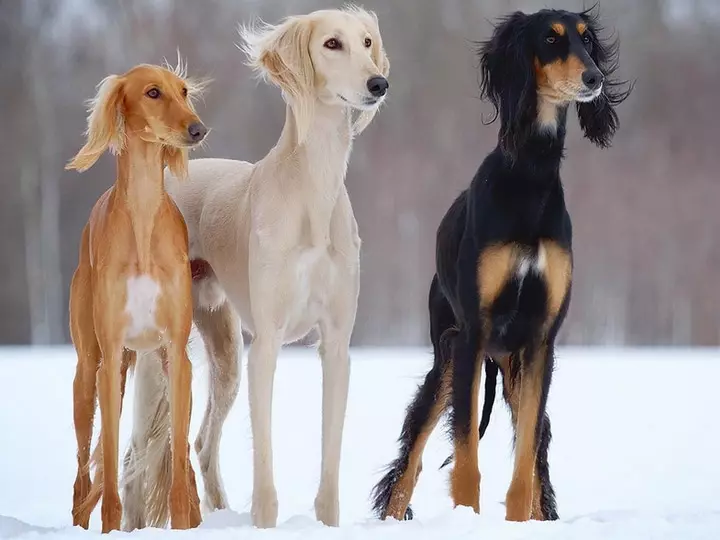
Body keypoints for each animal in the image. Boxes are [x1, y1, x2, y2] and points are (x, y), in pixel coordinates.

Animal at [65, 60, 208, 532]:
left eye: (184, 91)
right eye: (152, 92)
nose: (198, 129)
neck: (144, 217)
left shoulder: (177, 357)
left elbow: (179, 464)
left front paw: (182, 522)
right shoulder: (109, 361)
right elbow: (107, 468)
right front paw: (111, 525)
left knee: (185, 461)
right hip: (88, 374)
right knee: (82, 470)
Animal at [124, 5, 390, 528]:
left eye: (367, 41)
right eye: (332, 44)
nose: (379, 84)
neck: (312, 188)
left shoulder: (337, 343)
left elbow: (330, 458)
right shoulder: (267, 343)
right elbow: (263, 459)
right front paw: (264, 519)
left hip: (225, 353)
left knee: (202, 443)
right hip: (160, 357)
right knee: (138, 456)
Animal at [372, 8, 632, 524]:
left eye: (587, 39)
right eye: (551, 39)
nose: (594, 77)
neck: (530, 175)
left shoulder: (540, 342)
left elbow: (527, 459)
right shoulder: (472, 334)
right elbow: (465, 454)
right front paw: (466, 517)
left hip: (510, 365)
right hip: (448, 356)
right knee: (410, 461)